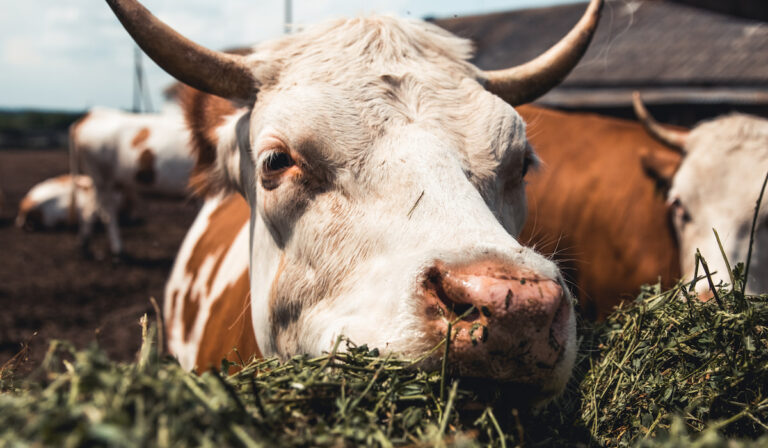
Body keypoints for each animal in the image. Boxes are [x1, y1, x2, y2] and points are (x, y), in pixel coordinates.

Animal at [69, 107, 194, 257]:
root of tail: (91, 114)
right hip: (101, 177)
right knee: (107, 212)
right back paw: (117, 249)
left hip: (102, 181)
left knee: (90, 209)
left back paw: (85, 245)